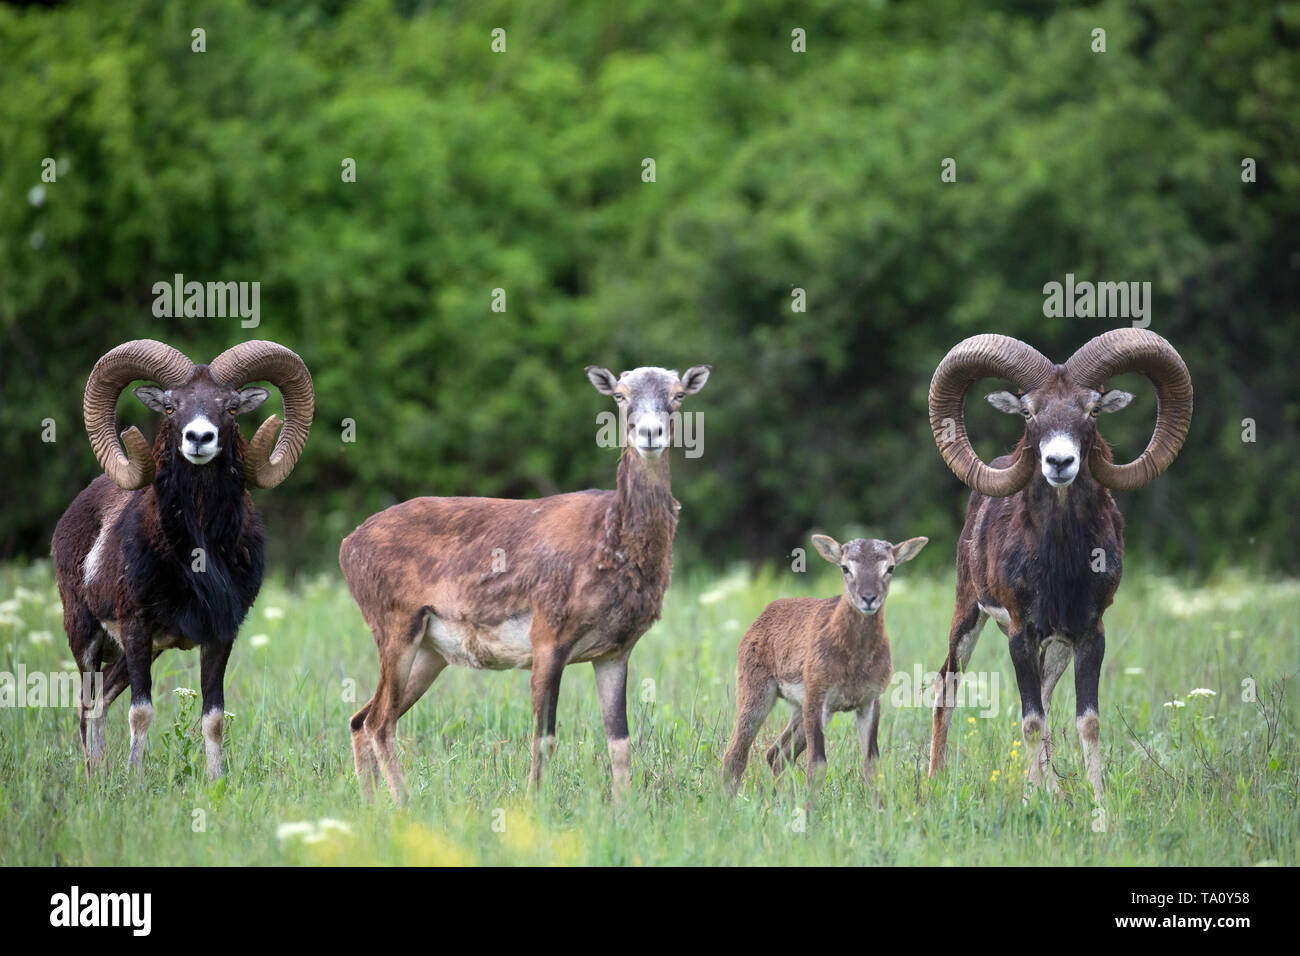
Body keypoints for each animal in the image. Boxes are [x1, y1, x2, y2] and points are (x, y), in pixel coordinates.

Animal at [51, 339, 314, 779]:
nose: (199, 438)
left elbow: (214, 717)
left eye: (230, 407)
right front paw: (135, 782)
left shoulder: (220, 635)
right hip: (86, 635)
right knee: (88, 705)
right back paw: (92, 776)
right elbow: (141, 713)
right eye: (172, 407)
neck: (197, 556)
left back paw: (101, 773)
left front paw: (215, 781)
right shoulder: (137, 628)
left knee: (102, 698)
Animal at [340, 364, 711, 804]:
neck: (611, 543)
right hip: (395, 622)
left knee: (361, 717)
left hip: (431, 651)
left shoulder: (616, 650)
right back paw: (405, 804)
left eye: (678, 395)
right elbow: (544, 737)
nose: (650, 433)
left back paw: (372, 805)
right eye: (619, 395)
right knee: (379, 721)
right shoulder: (548, 633)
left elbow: (619, 740)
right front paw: (535, 804)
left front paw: (625, 809)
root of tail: (347, 546)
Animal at [722, 533, 928, 796]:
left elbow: (872, 765)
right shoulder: (817, 694)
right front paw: (808, 807)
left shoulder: (870, 700)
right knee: (736, 753)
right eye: (845, 567)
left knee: (777, 753)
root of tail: (757, 621)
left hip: (799, 707)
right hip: (754, 687)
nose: (868, 598)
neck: (854, 666)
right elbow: (818, 765)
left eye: (890, 567)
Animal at [925, 329, 1192, 798]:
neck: (1061, 563)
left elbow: (1086, 721)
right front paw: (1031, 799)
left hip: (1055, 648)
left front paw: (1094, 801)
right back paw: (936, 780)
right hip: (968, 617)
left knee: (1048, 697)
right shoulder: (1020, 634)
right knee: (948, 683)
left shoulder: (1088, 634)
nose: (1059, 462)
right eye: (1029, 412)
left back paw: (1051, 787)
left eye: (1093, 409)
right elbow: (1031, 720)